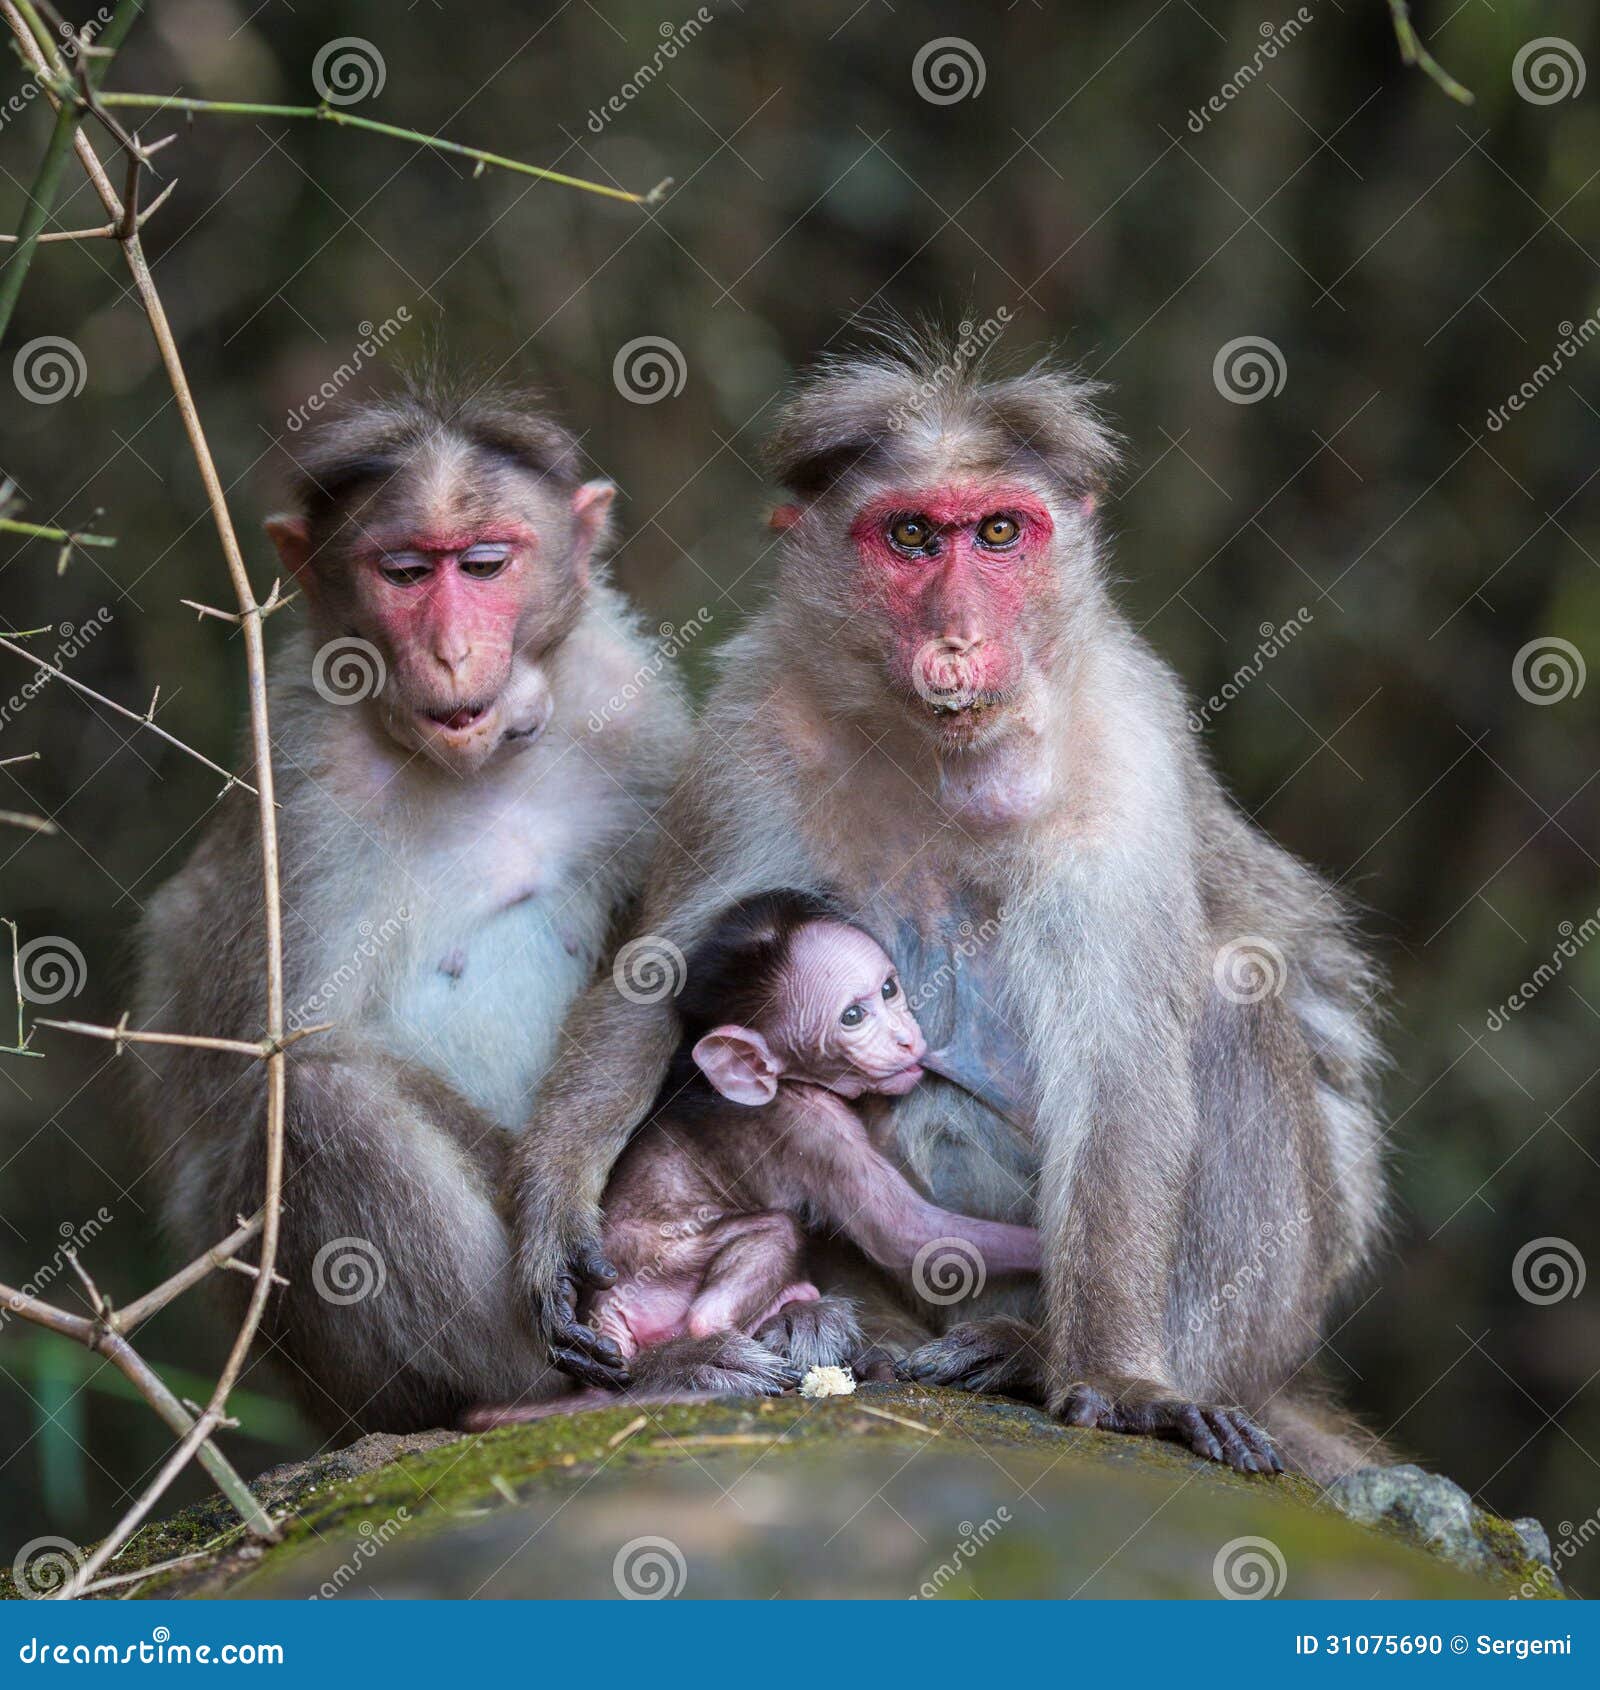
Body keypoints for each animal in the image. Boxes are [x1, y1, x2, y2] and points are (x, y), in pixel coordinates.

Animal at [133, 379, 691, 1437]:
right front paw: (547, 1215)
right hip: (337, 1380)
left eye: (483, 565)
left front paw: (557, 1188)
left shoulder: (634, 714)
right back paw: (540, 1389)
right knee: (319, 1100)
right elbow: (282, 1061)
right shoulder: (302, 782)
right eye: (402, 572)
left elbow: (670, 963)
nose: (452, 647)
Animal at [510, 333, 1388, 1479]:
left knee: (1229, 1000)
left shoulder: (1122, 748)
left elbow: (1122, 1061)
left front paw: (1122, 1380)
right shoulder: (753, 728)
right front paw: (553, 1220)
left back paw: (1037, 1352)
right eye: (913, 536)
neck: (939, 750)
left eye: (1001, 532)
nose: (962, 638)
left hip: (1277, 1312)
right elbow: (663, 969)